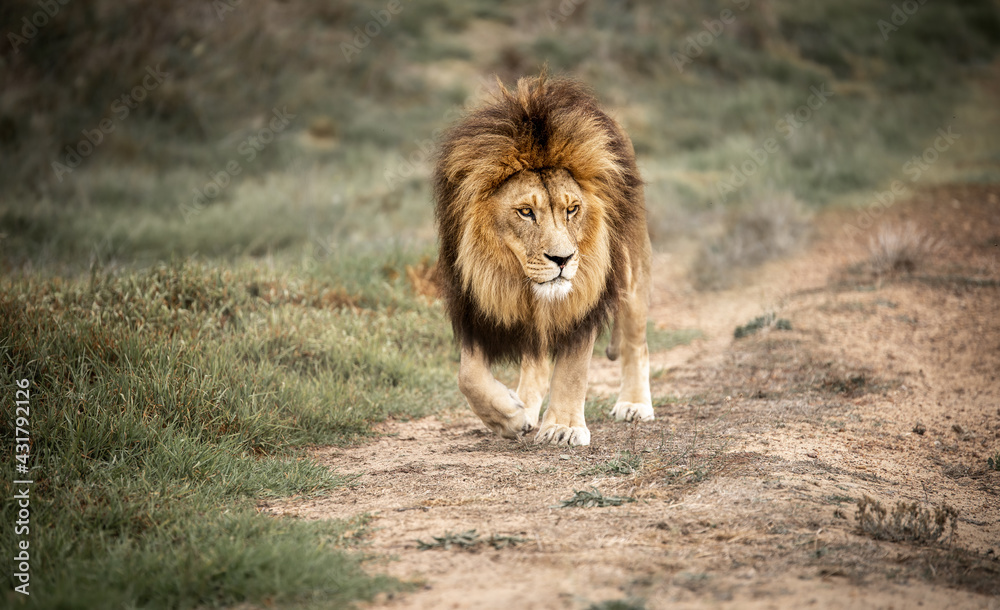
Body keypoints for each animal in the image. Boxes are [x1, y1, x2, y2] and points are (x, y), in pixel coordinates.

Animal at [433, 74, 653, 446]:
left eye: (572, 209)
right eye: (525, 212)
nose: (562, 259)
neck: (513, 275)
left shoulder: (585, 294)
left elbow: (573, 369)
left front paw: (563, 427)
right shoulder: (472, 301)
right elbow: (468, 376)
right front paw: (509, 416)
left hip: (630, 267)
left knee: (636, 339)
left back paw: (635, 404)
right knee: (535, 357)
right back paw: (525, 403)